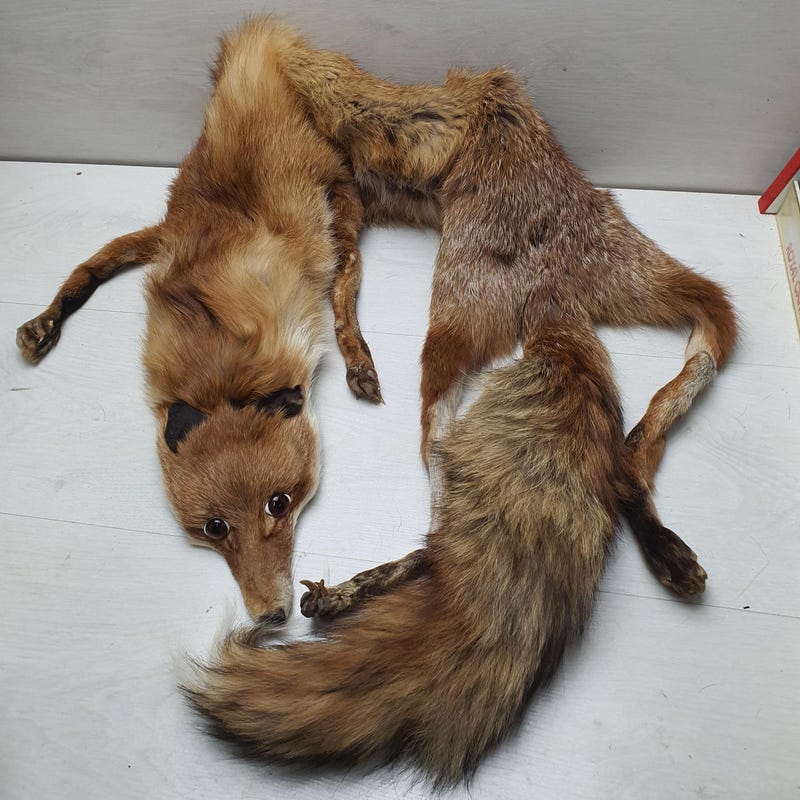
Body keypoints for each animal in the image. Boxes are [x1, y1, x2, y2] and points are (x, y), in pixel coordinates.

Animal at [14, 22, 384, 620]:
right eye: (214, 528)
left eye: (279, 503)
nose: (272, 618)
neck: (219, 368)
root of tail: (261, 37)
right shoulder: (168, 246)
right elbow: (95, 263)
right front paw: (49, 318)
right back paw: (43, 324)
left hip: (340, 209)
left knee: (347, 284)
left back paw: (359, 362)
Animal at [183, 21, 737, 785]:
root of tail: (550, 295)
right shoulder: (352, 209)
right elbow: (343, 286)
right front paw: (354, 356)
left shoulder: (358, 130)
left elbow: (338, 272)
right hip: (651, 278)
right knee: (668, 401)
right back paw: (664, 544)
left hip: (447, 333)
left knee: (440, 513)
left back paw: (352, 590)